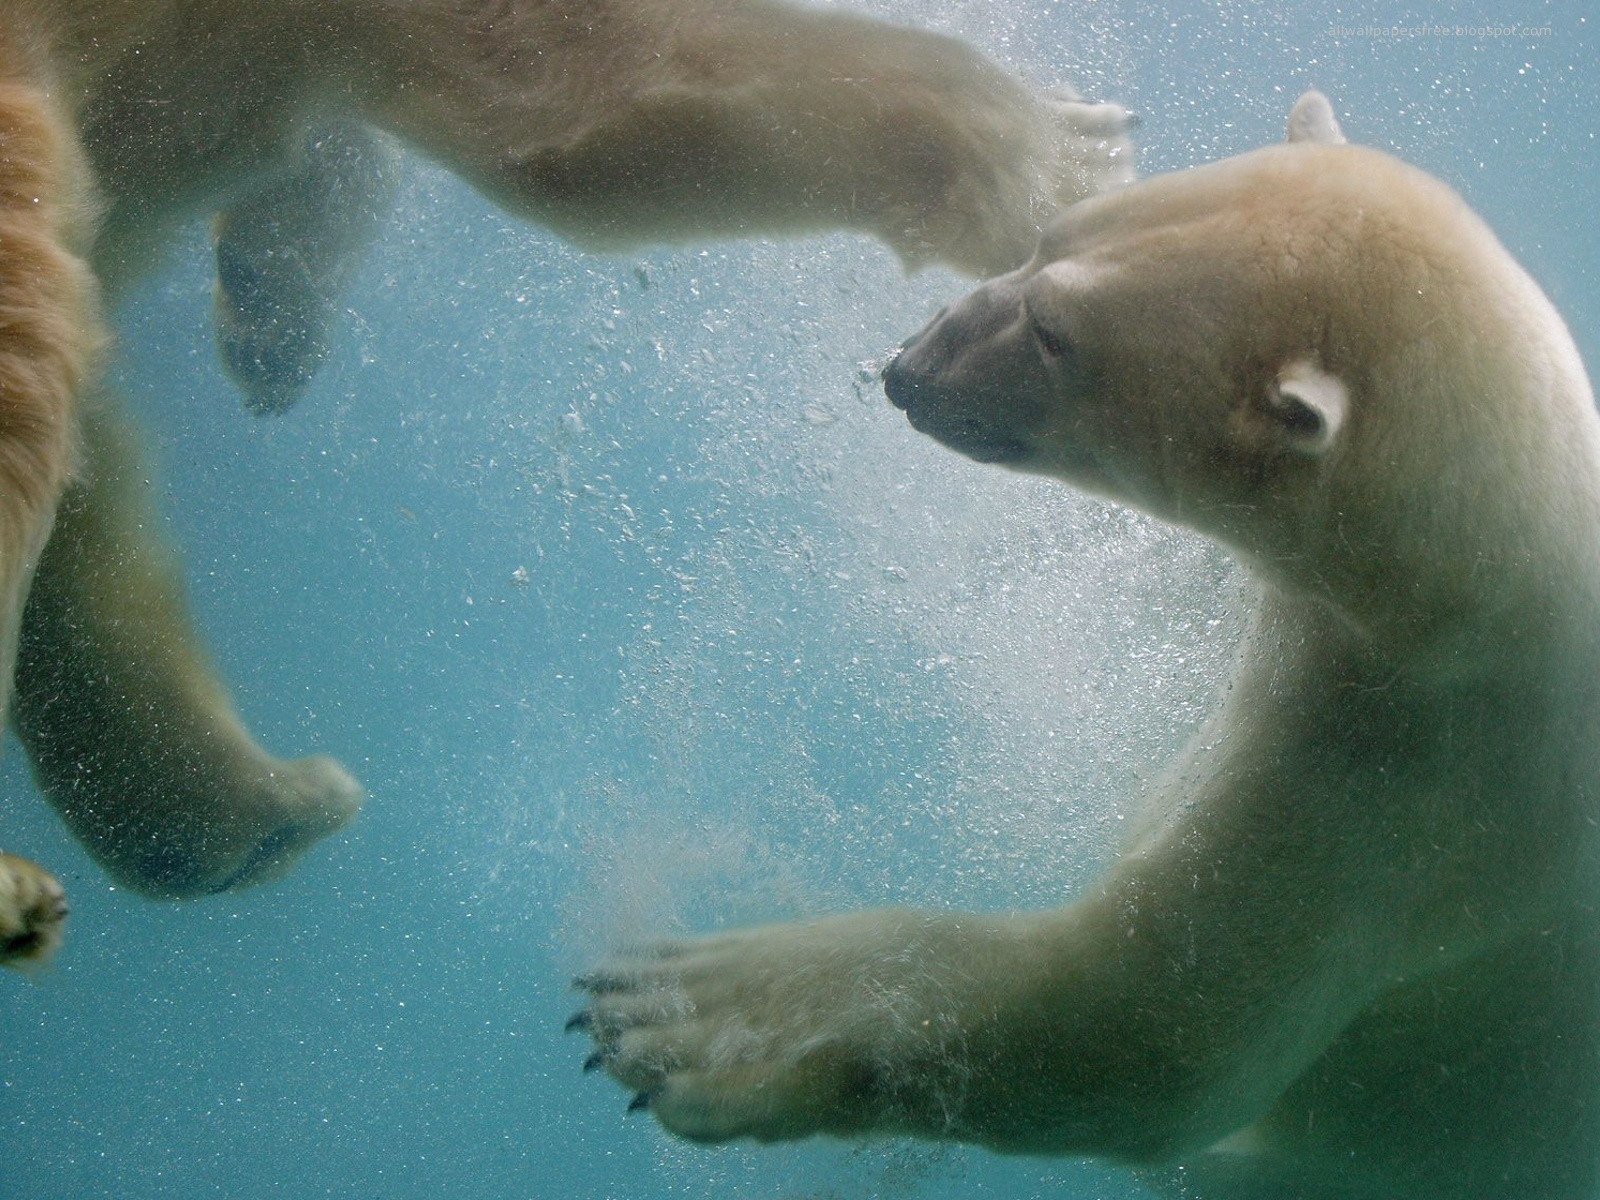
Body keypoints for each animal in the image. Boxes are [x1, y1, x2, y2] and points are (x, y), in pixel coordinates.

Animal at [572, 92, 1600, 1200]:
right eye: (1045, 237)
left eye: (1054, 333)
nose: (906, 370)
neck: (1467, 583)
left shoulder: (1417, 790)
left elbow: (1153, 1032)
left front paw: (679, 1013)